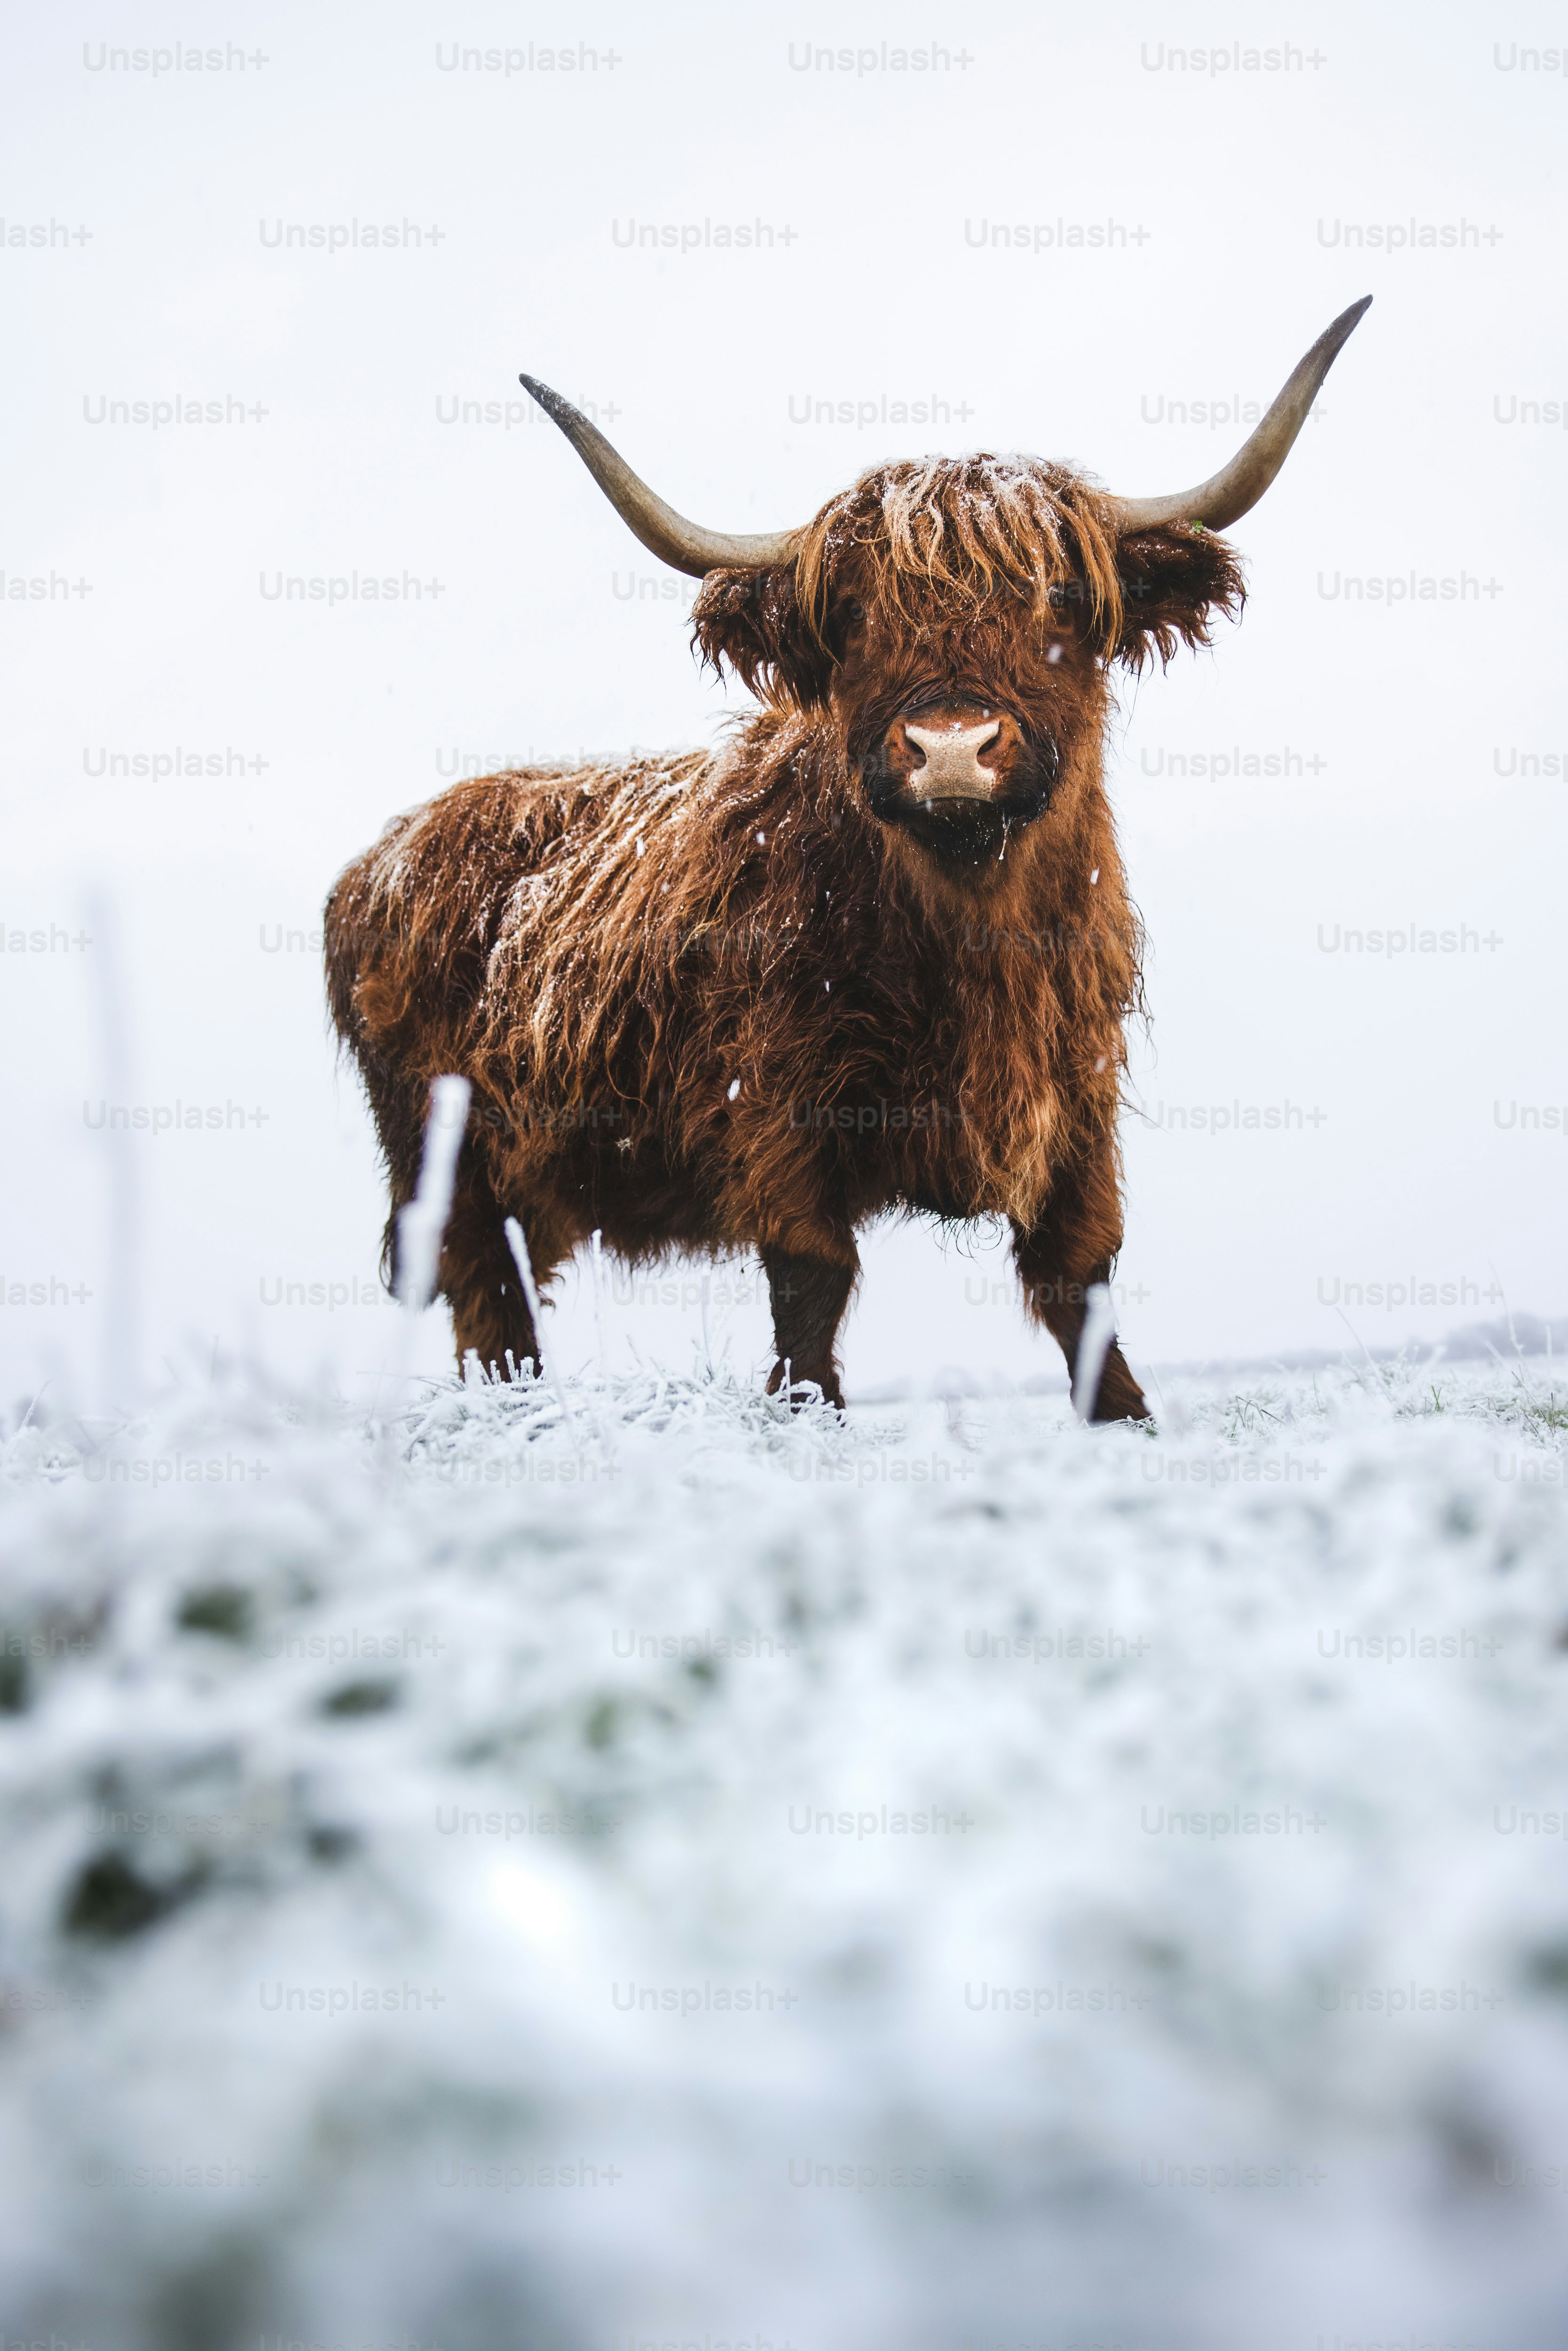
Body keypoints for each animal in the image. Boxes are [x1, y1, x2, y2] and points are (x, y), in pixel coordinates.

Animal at [325, 299, 1370, 1420]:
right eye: (856, 616)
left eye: (1056, 594)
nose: (950, 746)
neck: (968, 933)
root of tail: (385, 852)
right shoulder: (776, 1108)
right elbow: (810, 1292)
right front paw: (803, 1421)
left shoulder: (1077, 1105)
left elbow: (1080, 1281)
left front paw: (1127, 1424)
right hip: (443, 1159)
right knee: (488, 1302)